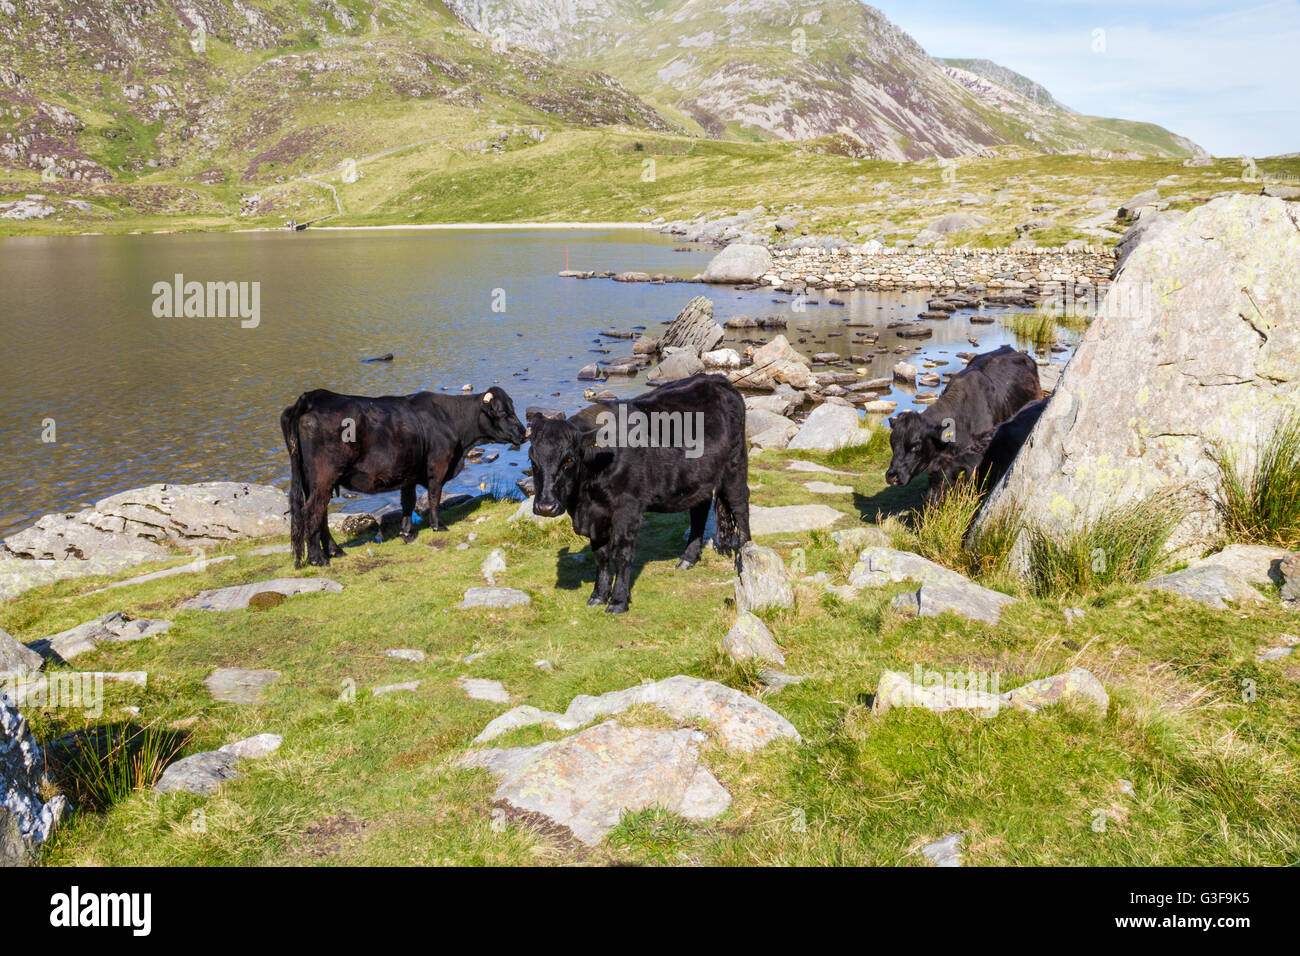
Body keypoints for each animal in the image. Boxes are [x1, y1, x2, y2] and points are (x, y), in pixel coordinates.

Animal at [281, 387, 526, 567]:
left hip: (313, 481)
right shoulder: (437, 467)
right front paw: (438, 525)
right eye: (503, 412)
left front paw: (407, 532)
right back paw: (317, 559)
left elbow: (408, 502)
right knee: (312, 512)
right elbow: (434, 497)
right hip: (324, 477)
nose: (524, 433)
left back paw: (335, 551)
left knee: (320, 514)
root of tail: (313, 396)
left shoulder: (408, 474)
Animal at [526, 374, 750, 614]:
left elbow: (621, 554)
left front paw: (618, 601)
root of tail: (715, 379)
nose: (545, 507)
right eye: (532, 460)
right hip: (698, 477)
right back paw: (687, 559)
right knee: (699, 511)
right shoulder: (596, 516)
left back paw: (746, 556)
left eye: (569, 459)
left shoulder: (628, 508)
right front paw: (598, 596)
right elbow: (600, 556)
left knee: (740, 506)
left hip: (735, 465)